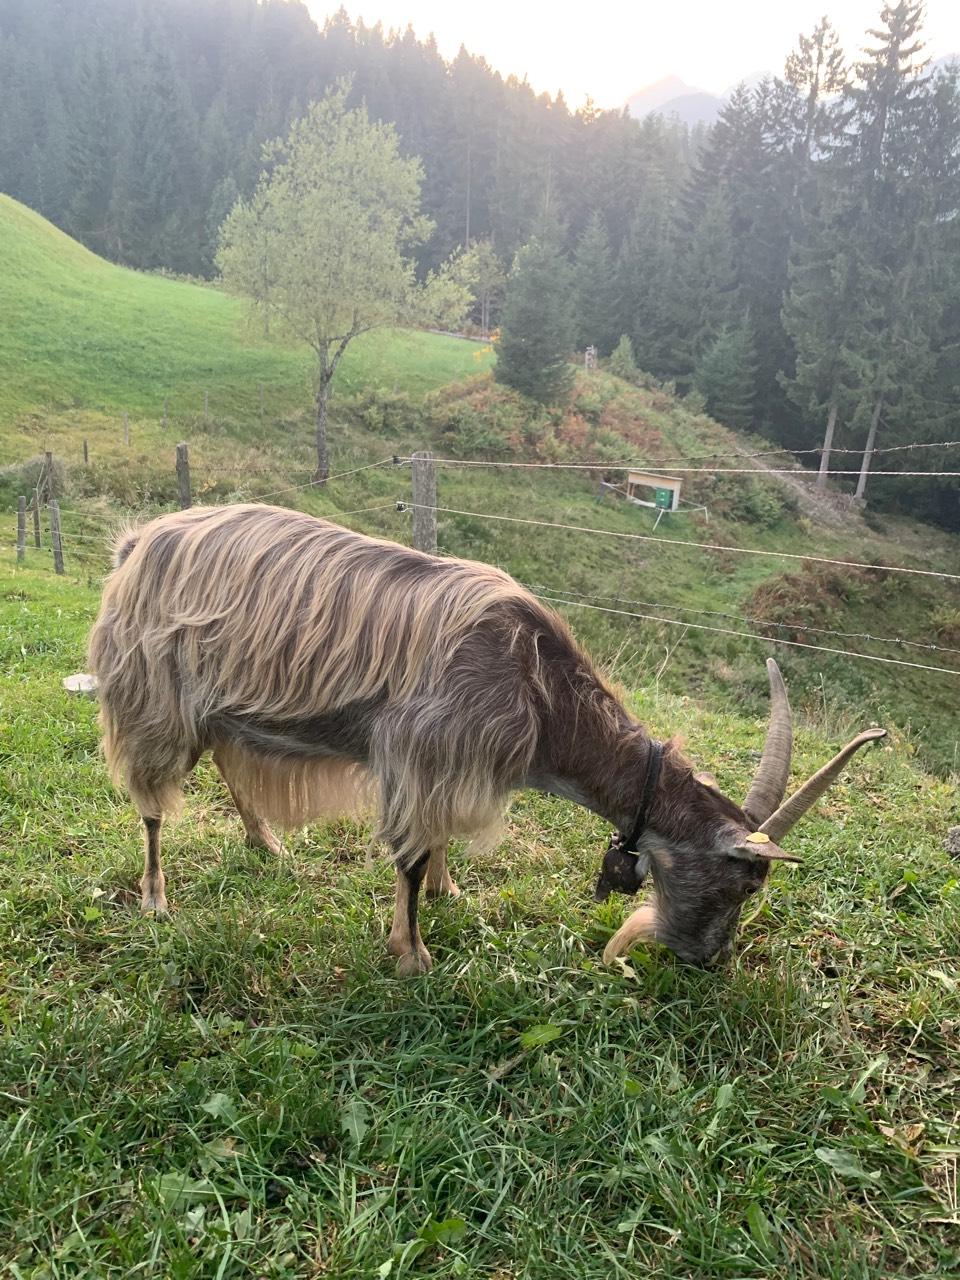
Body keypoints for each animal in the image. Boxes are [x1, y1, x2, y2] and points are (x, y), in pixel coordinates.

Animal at [88, 504, 884, 973]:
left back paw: (265, 841)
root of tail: (135, 543)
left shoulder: (446, 764)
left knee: (225, 755)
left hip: (216, 702)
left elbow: (434, 842)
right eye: (743, 882)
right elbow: (409, 856)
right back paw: (156, 896)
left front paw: (448, 891)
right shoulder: (421, 750)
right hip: (152, 690)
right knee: (152, 797)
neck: (541, 693)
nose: (707, 960)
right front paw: (412, 954)